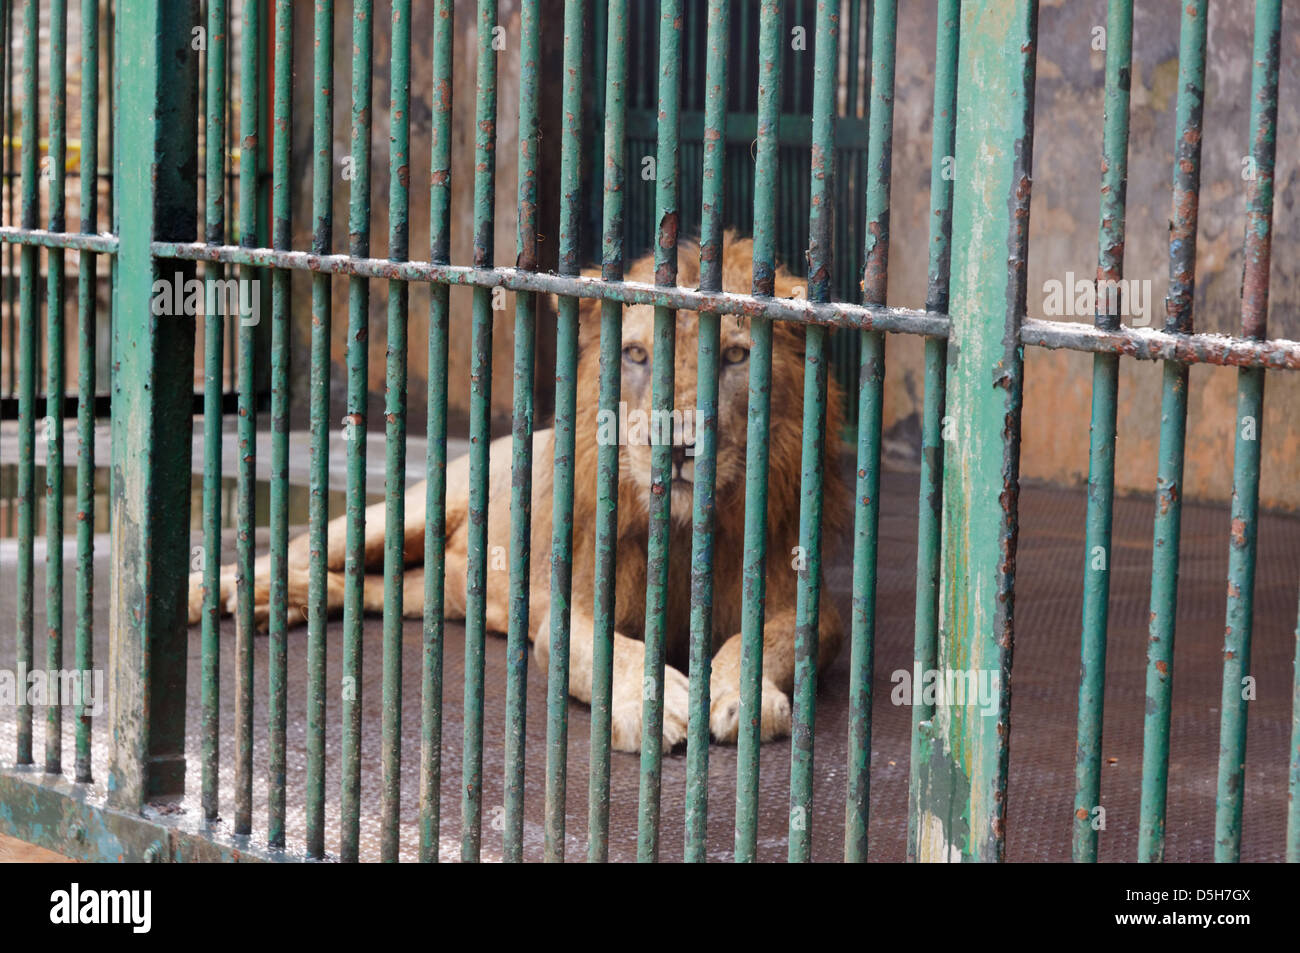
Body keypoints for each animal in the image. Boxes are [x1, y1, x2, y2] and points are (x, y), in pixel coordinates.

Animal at [185, 232, 852, 748]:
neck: (688, 532)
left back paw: (287, 605)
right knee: (290, 553)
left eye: (737, 356)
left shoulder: (809, 606)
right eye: (636, 354)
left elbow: (761, 640)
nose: (677, 446)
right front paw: (654, 703)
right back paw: (224, 597)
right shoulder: (571, 607)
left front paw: (738, 696)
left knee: (368, 587)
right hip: (399, 518)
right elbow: (606, 650)